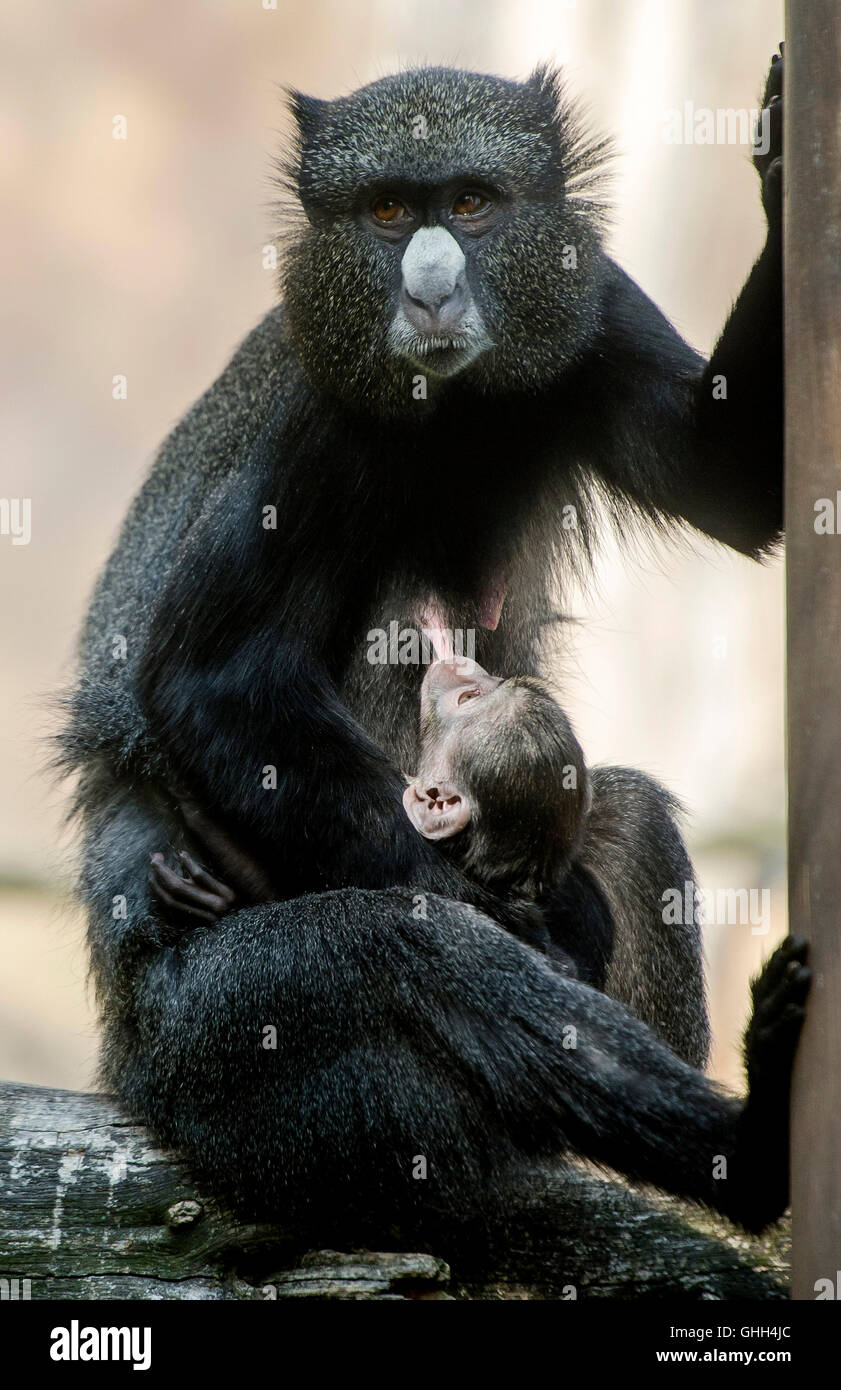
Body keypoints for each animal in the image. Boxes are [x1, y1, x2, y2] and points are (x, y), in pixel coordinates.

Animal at [59, 54, 800, 1248]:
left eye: (470, 203)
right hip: (211, 1037)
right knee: (407, 951)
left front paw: (782, 158)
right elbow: (210, 681)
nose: (433, 287)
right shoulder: (325, 415)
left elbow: (733, 479)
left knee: (629, 814)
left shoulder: (590, 301)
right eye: (388, 213)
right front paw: (530, 925)